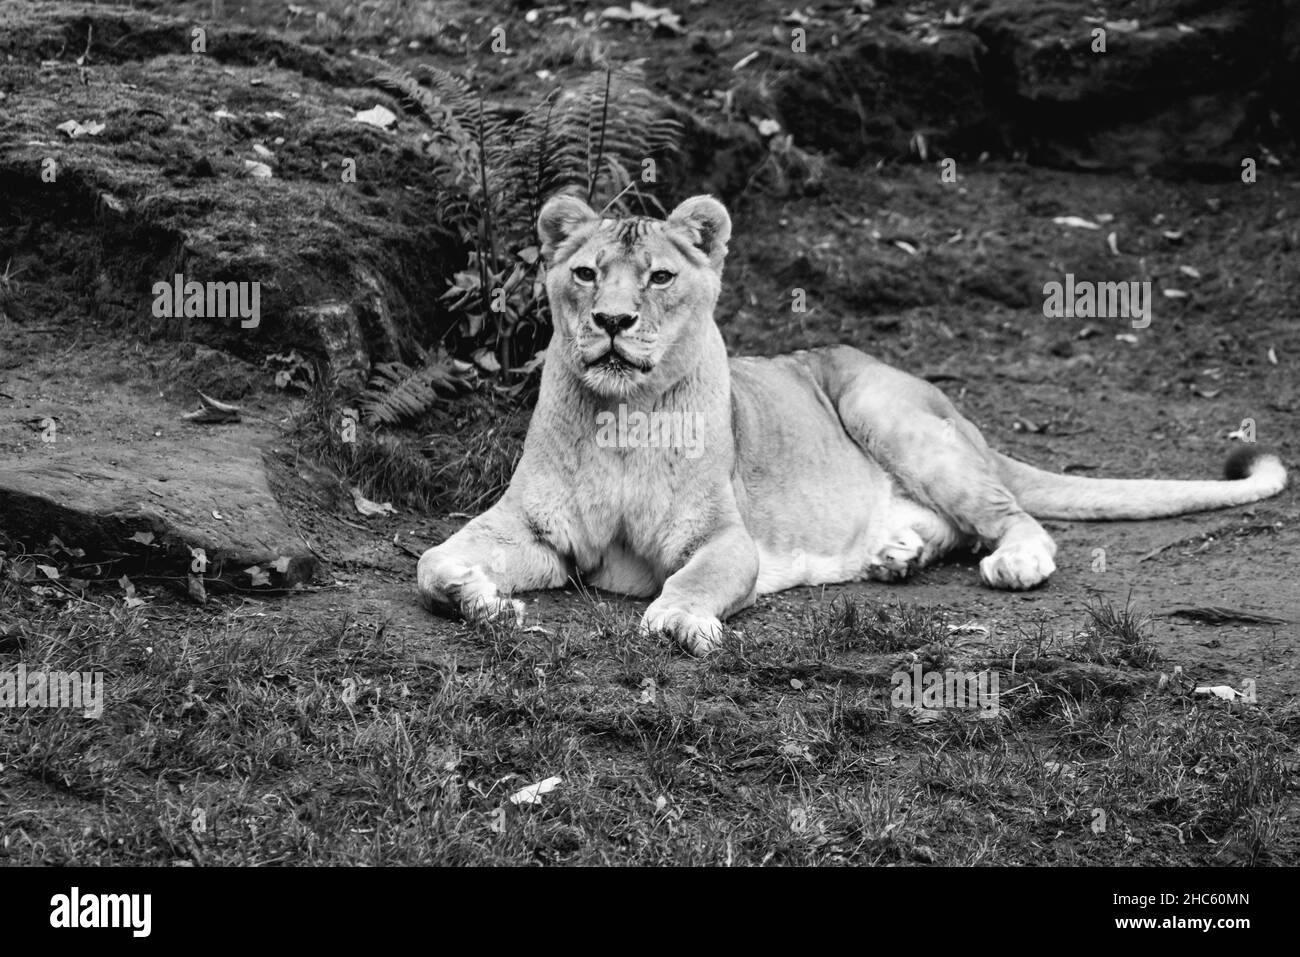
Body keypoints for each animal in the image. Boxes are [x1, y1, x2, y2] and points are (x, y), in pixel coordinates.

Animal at [417, 194, 1288, 654]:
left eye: (660, 277)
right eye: (585, 272)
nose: (611, 320)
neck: (621, 421)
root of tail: (958, 411)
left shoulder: (726, 539)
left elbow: (694, 577)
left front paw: (675, 617)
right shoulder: (538, 532)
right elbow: (432, 561)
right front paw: (482, 597)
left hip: (880, 406)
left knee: (1013, 516)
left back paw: (1009, 562)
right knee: (953, 522)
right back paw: (895, 554)